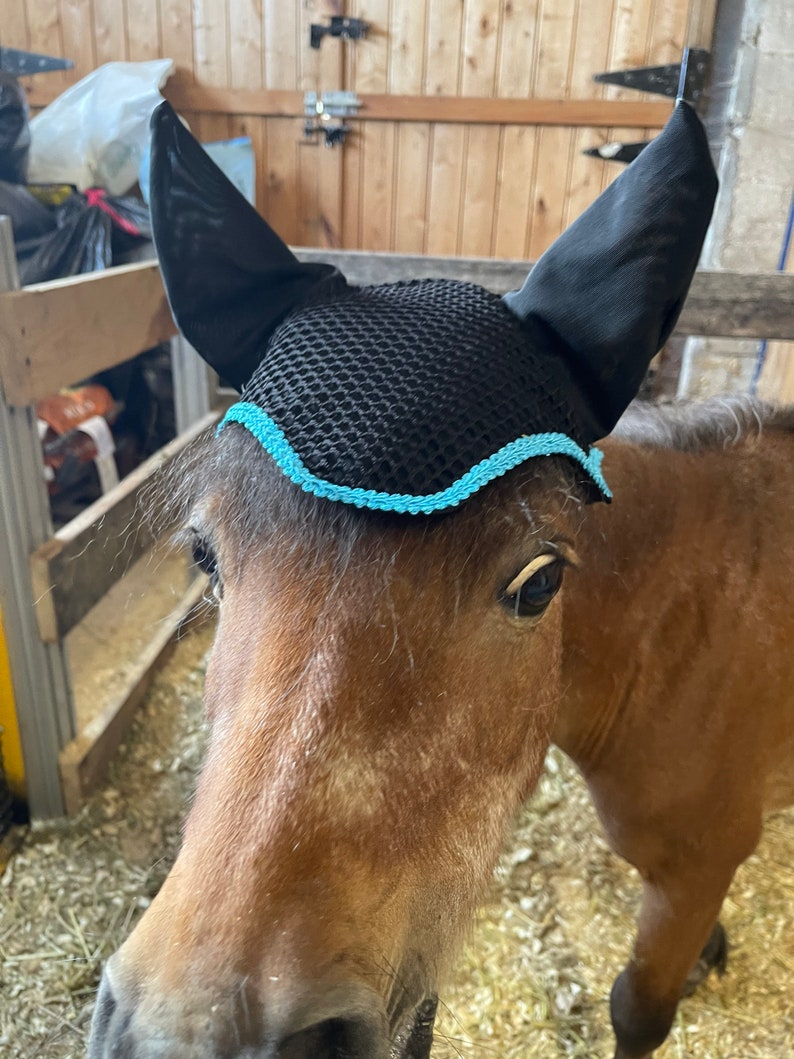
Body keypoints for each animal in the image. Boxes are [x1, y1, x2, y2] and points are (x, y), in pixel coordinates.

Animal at [88, 394, 794, 1059]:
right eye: (204, 556)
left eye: (540, 585)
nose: (182, 1034)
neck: (686, 622)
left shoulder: (697, 870)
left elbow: (637, 1016)